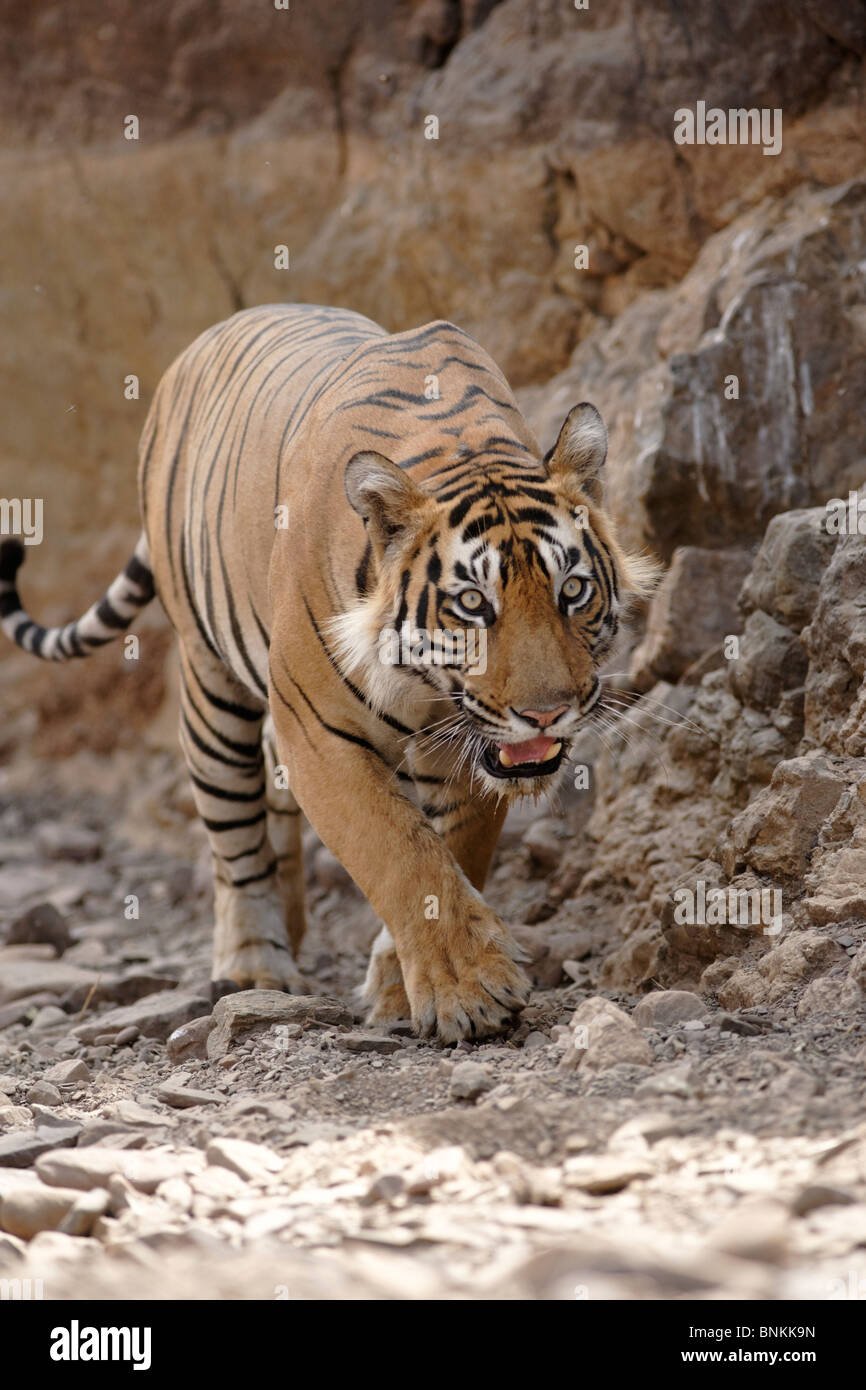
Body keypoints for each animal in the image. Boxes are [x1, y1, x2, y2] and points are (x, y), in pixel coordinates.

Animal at [0, 303, 657, 1042]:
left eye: (573, 590)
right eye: (471, 603)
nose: (545, 713)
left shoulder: (461, 745)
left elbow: (451, 851)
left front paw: (400, 984)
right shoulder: (318, 732)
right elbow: (399, 854)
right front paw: (470, 991)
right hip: (209, 687)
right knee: (233, 831)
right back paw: (253, 962)